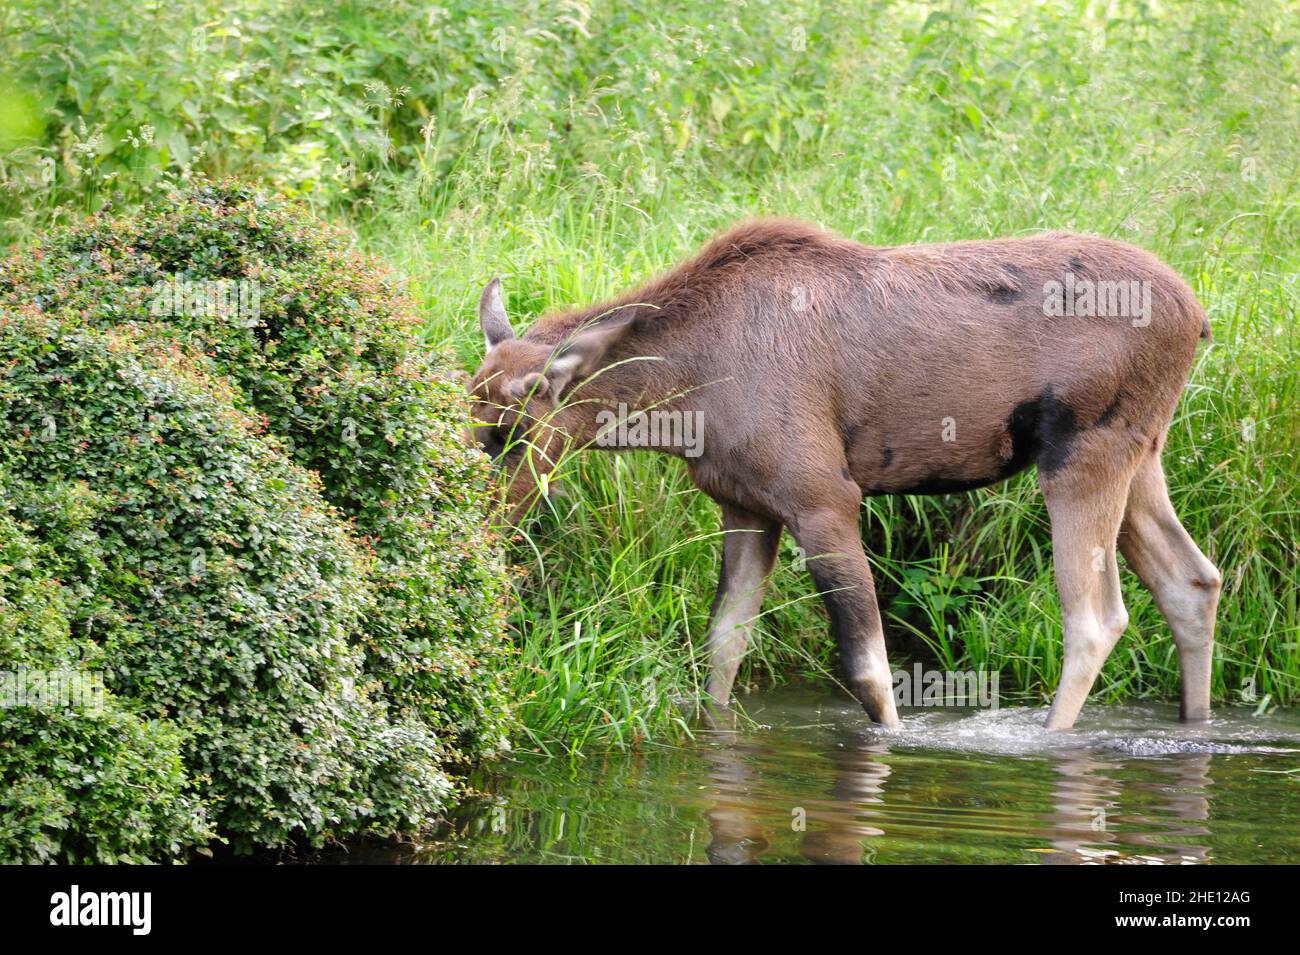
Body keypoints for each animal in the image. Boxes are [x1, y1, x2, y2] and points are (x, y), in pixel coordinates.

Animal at [467, 220, 1220, 731]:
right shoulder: (746, 507)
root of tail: (1199, 316)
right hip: (1143, 454)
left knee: (1095, 618)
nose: (479, 531)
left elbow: (868, 673)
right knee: (1192, 579)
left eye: (513, 435)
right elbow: (723, 649)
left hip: (1083, 456)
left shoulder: (824, 499)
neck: (684, 395)